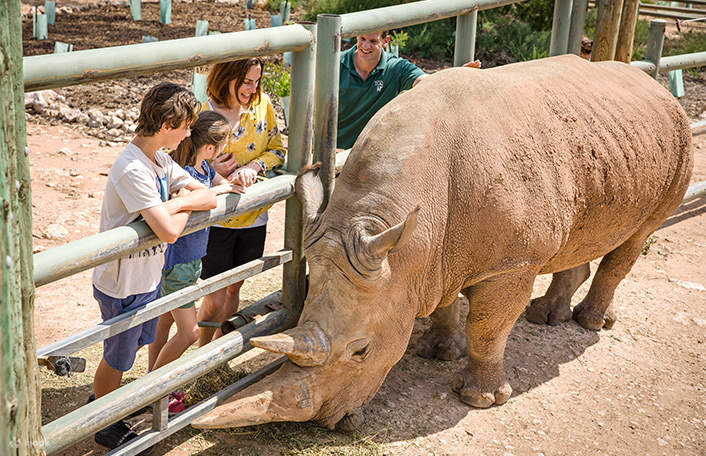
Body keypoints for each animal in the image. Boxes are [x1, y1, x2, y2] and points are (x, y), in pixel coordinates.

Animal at [192, 55, 693, 430]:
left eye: (361, 352)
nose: (327, 424)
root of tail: (652, 83)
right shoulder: (428, 252)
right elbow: (444, 302)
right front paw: (437, 352)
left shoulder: (511, 262)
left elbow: (487, 327)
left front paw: (481, 398)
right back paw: (547, 317)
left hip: (678, 137)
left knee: (637, 237)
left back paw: (589, 324)